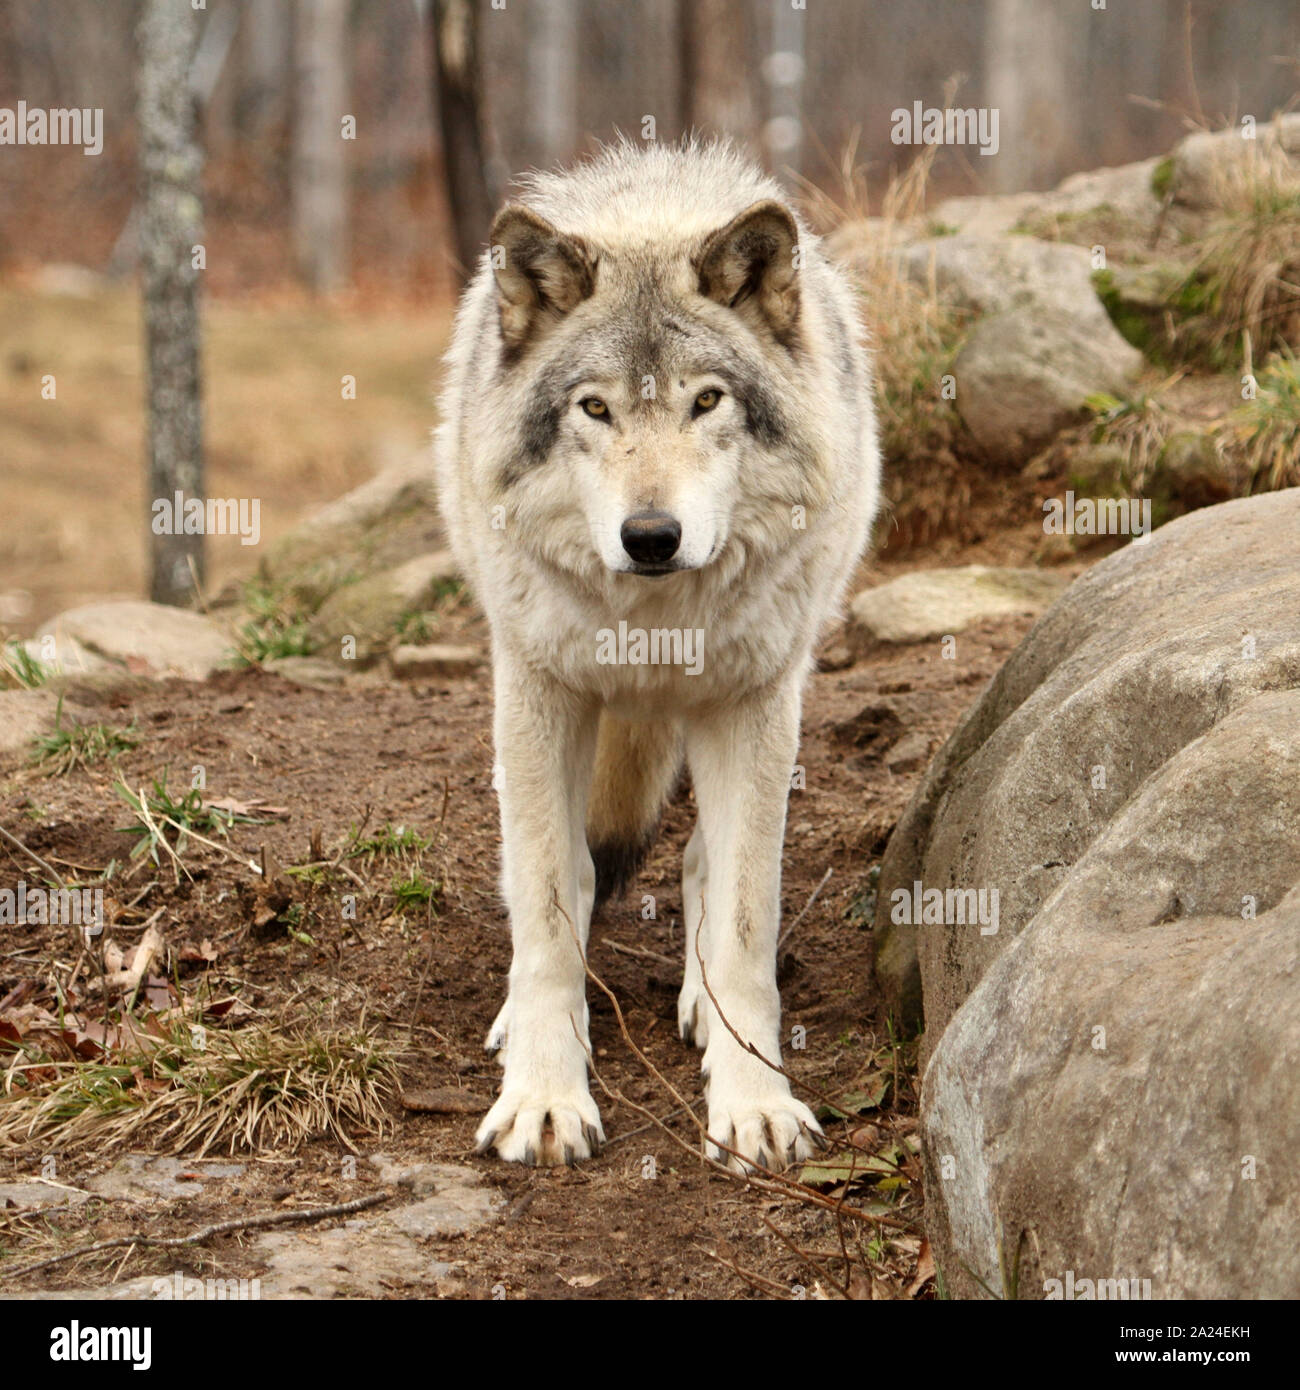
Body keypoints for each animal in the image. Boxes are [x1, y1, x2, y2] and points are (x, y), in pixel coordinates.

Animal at [434, 138, 881, 1171]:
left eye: (706, 401)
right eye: (595, 409)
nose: (650, 536)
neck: (651, 618)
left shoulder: (751, 704)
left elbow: (747, 925)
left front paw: (753, 1098)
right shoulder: (539, 693)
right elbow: (549, 904)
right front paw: (543, 1095)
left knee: (702, 867)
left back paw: (702, 1008)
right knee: (573, 870)